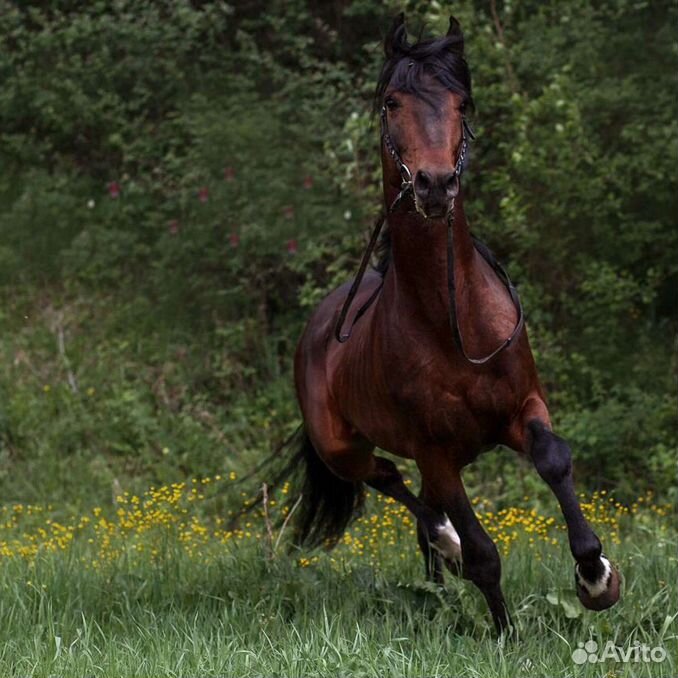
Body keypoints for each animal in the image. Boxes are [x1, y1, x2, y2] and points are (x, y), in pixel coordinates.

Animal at [286, 11, 620, 636]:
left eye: (461, 103)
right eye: (392, 102)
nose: (435, 184)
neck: (451, 321)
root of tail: (316, 327)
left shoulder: (522, 407)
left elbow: (554, 458)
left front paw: (595, 575)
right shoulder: (436, 450)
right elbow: (484, 554)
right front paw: (506, 634)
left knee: (418, 507)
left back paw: (437, 581)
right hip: (344, 449)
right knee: (391, 482)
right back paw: (446, 547)